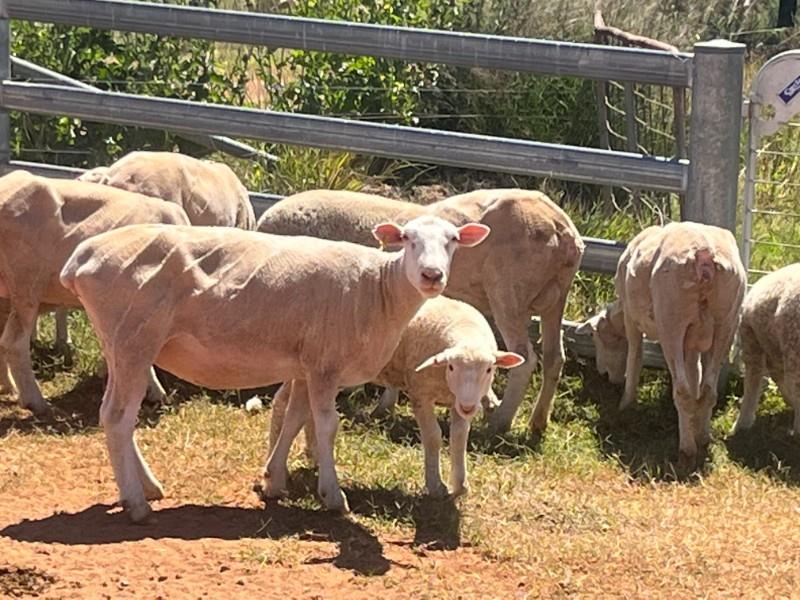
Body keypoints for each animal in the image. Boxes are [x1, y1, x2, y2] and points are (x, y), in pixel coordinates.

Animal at [59, 215, 489, 522]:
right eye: (407, 238)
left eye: (452, 240)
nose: (432, 276)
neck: (378, 289)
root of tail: (81, 258)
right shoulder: (325, 363)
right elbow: (326, 425)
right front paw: (332, 495)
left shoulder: (305, 364)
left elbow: (295, 418)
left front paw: (274, 480)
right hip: (132, 340)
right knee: (118, 417)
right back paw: (136, 504)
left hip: (118, 344)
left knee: (117, 415)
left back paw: (147, 487)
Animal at [257, 188, 584, 434]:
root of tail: (562, 230)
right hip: (555, 298)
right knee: (554, 357)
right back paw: (538, 422)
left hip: (509, 292)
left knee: (525, 358)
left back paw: (500, 422)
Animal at [268, 296, 525, 497]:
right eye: (451, 367)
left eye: (489, 369)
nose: (470, 406)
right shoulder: (420, 393)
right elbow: (433, 436)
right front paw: (435, 485)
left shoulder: (457, 401)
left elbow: (459, 438)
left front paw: (460, 486)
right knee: (282, 403)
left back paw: (313, 456)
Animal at [576, 222, 746, 467]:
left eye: (596, 338)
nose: (604, 374)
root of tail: (705, 254)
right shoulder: (691, 344)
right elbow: (695, 373)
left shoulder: (631, 318)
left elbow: (635, 356)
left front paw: (626, 403)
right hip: (727, 321)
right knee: (708, 390)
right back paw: (702, 437)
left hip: (671, 320)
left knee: (682, 391)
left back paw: (686, 448)